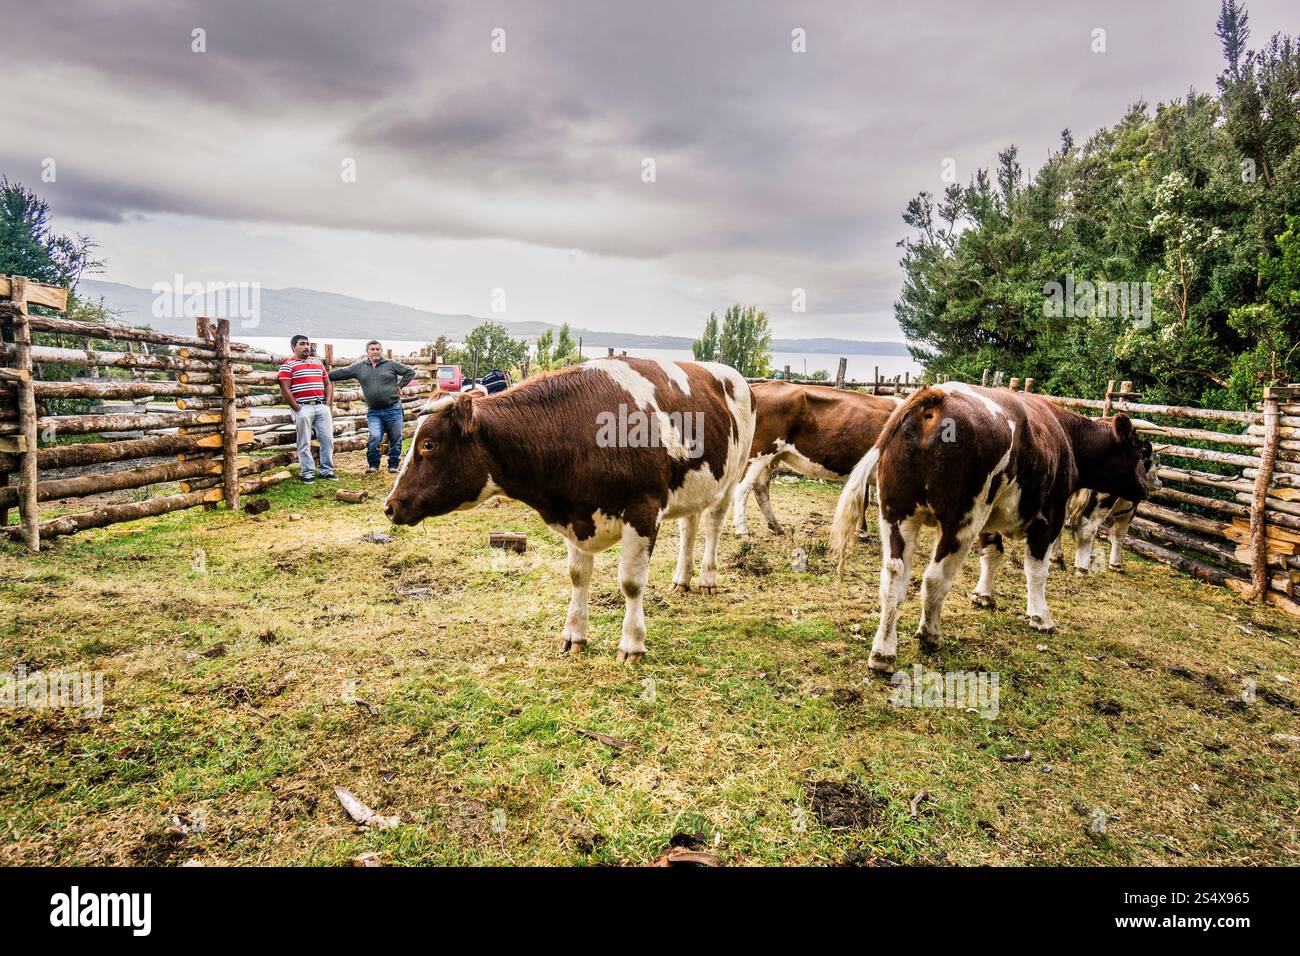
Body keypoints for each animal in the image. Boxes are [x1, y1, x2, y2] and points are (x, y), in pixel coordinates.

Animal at [384, 357, 756, 663]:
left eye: (428, 445)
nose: (390, 506)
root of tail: (734, 374)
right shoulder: (575, 514)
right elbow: (578, 576)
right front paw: (574, 635)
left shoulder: (643, 511)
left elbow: (631, 583)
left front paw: (632, 644)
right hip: (695, 483)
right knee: (688, 527)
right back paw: (682, 578)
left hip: (732, 475)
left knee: (712, 525)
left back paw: (707, 578)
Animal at [731, 381, 900, 536]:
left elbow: (863, 500)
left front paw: (861, 529)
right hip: (759, 452)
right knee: (742, 488)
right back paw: (742, 529)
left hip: (771, 456)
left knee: (760, 488)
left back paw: (776, 526)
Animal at [1049, 442, 1161, 575]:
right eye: (1157, 465)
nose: (1159, 483)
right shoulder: (1130, 510)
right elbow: (1118, 534)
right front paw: (1116, 564)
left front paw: (1091, 555)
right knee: (1088, 528)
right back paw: (1081, 567)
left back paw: (1057, 558)